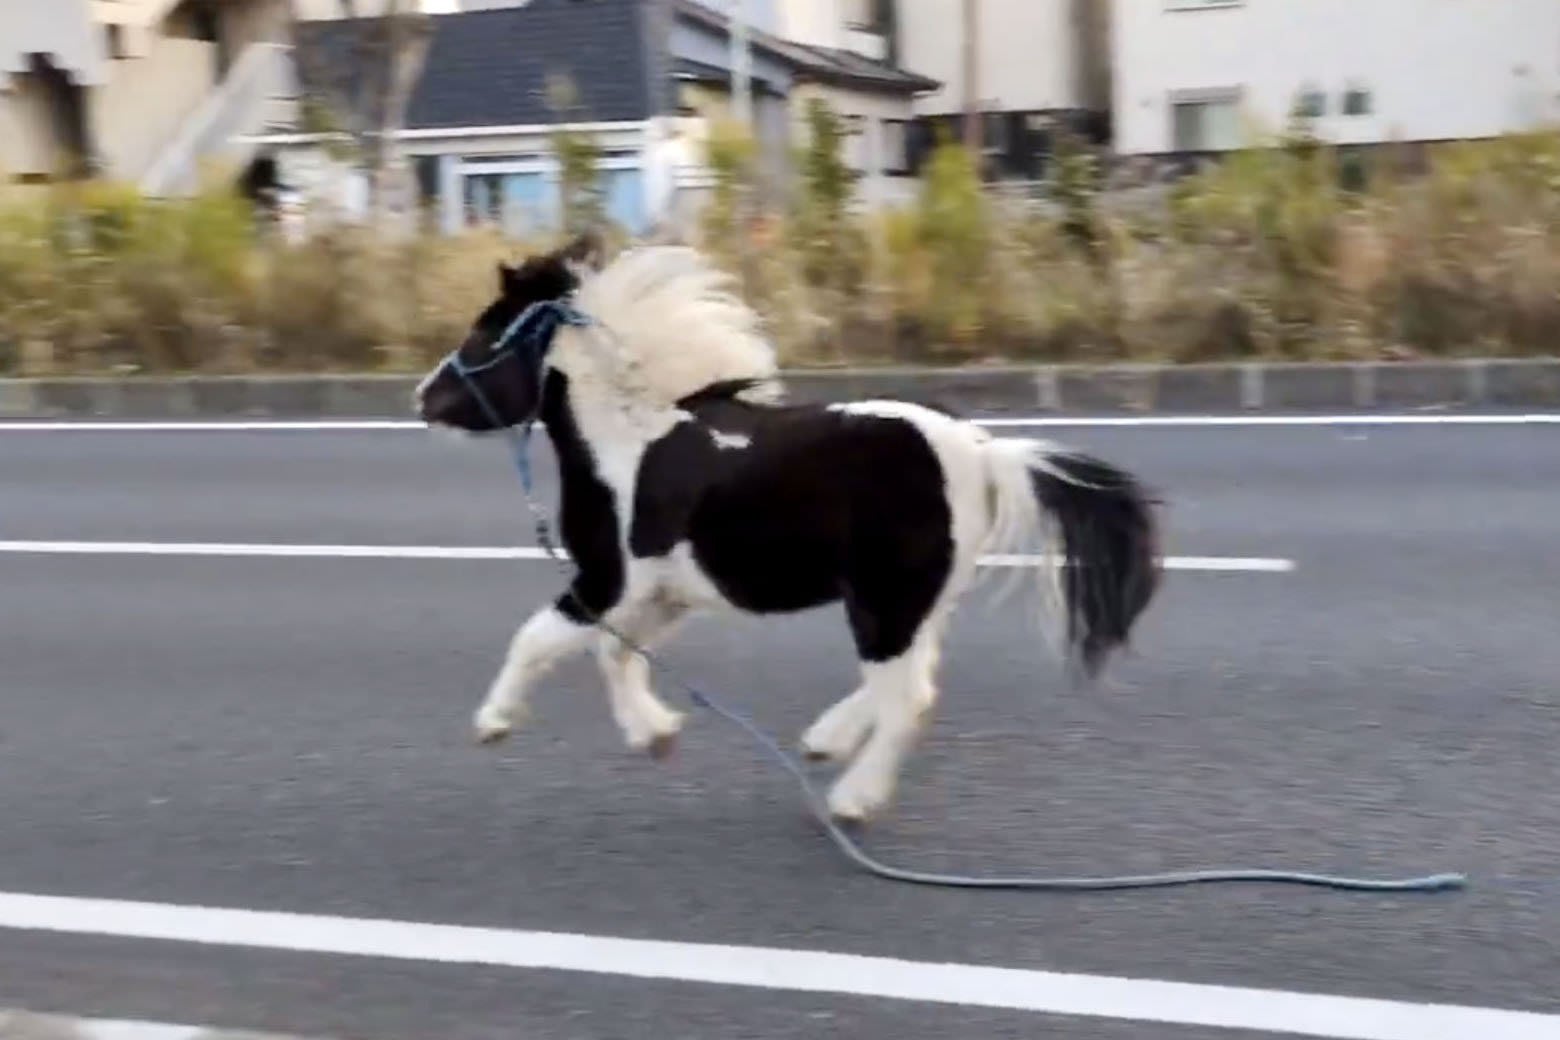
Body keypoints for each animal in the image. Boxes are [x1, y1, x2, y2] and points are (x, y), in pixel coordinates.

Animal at [414, 233, 1162, 824]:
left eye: (481, 336)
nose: (423, 397)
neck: (628, 446)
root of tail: (983, 453)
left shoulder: (607, 580)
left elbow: (537, 639)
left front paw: (494, 723)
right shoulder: (659, 595)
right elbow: (615, 653)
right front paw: (655, 735)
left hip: (885, 601)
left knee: (909, 697)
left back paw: (853, 799)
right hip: (917, 602)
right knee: (905, 680)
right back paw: (825, 740)